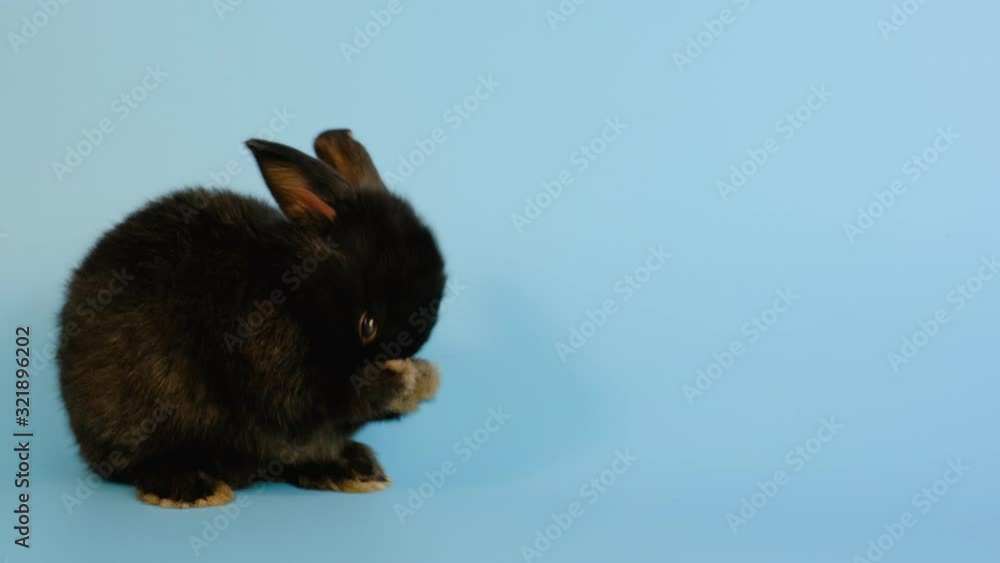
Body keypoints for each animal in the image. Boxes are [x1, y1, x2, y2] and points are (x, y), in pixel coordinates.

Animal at [56, 130, 447, 508]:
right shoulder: (286, 382)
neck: (295, 296)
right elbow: (341, 399)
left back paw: (354, 469)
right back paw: (192, 488)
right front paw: (410, 381)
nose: (405, 362)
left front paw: (425, 378)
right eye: (367, 325)